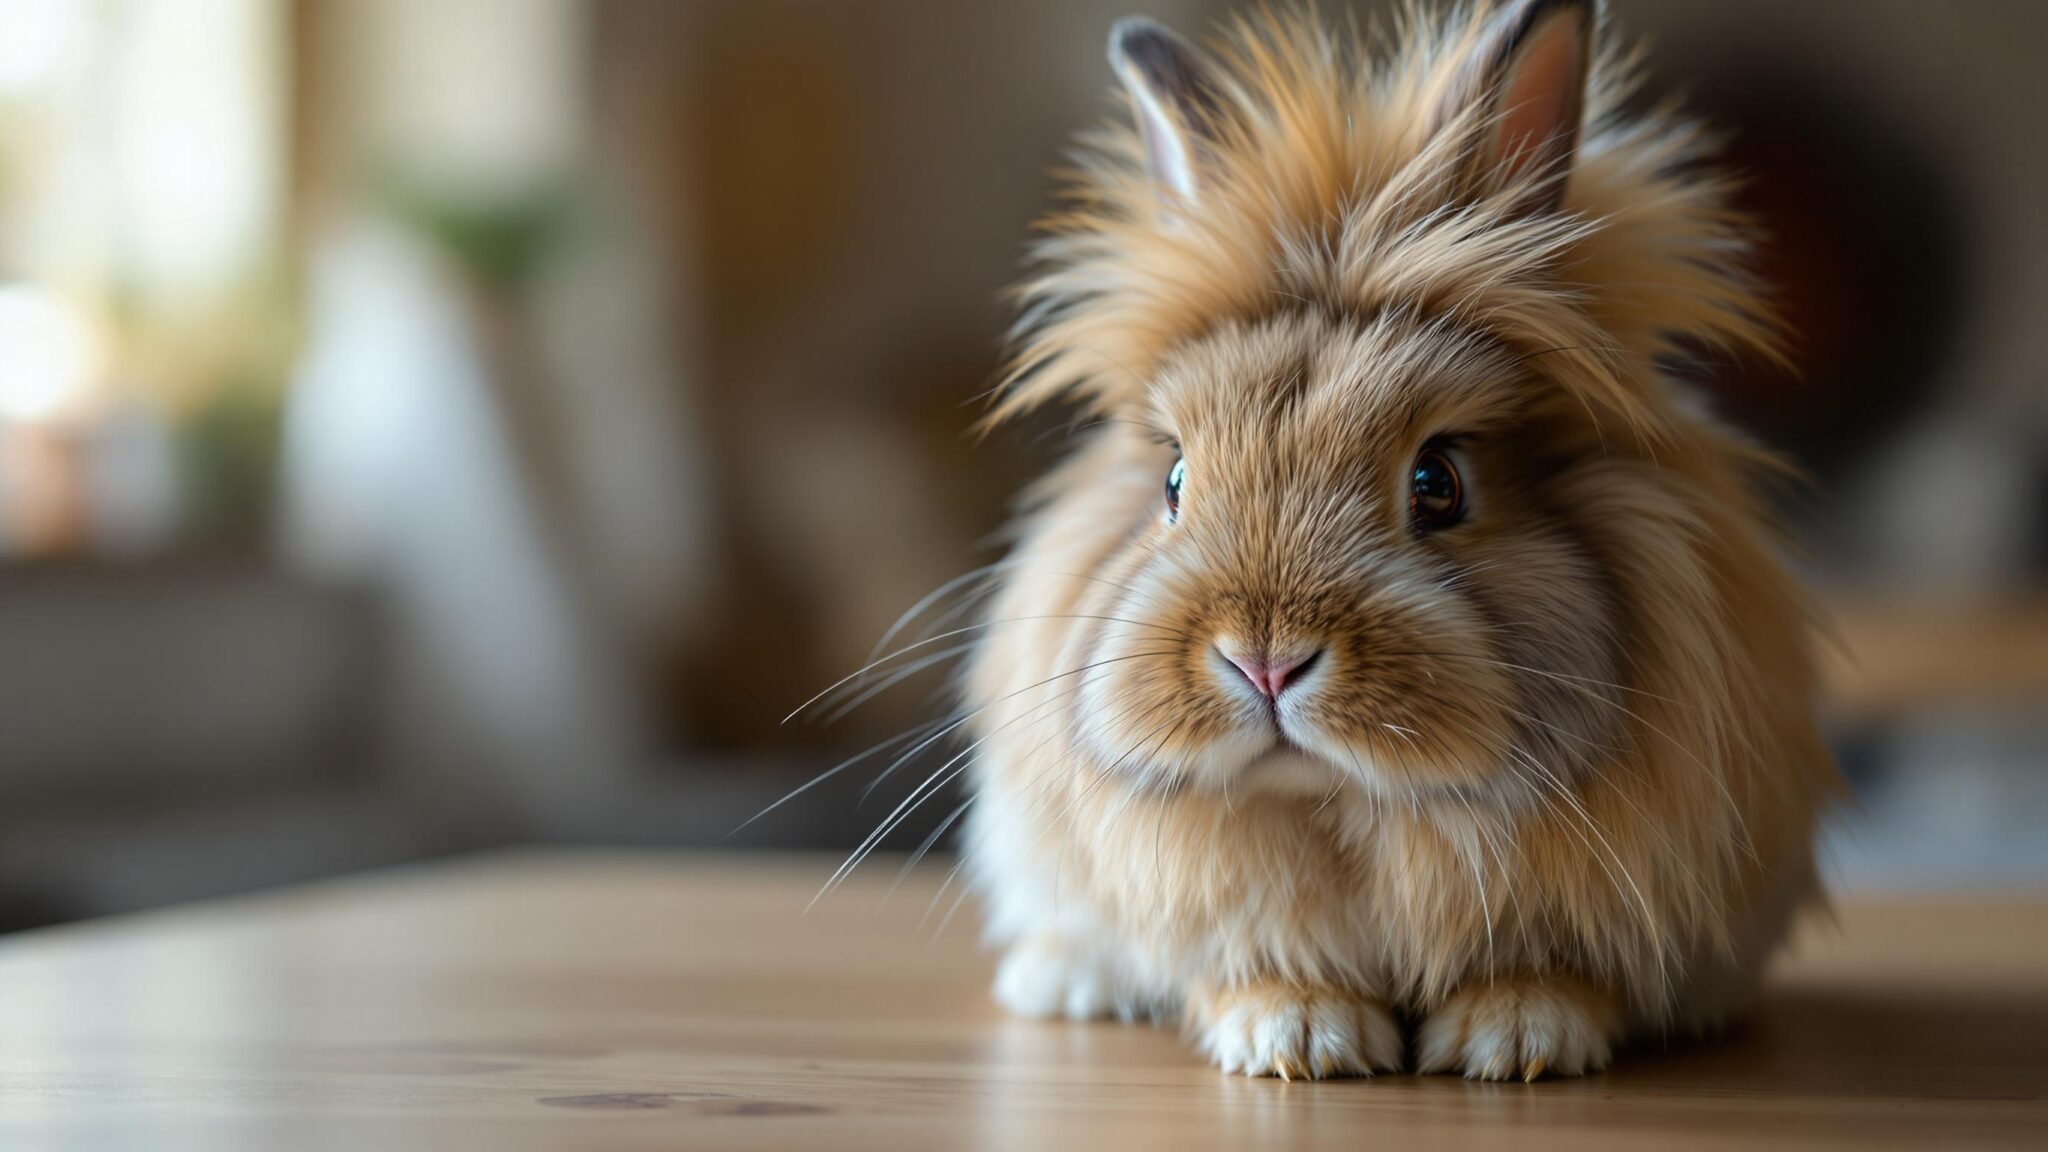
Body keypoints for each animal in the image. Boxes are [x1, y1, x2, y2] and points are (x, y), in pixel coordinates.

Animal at [956, 0, 1842, 1080]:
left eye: (1438, 482)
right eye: (1173, 482)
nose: (1263, 661)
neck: (1354, 814)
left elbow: (1549, 968)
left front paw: (1518, 1037)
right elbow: (1253, 959)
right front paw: (1296, 1036)